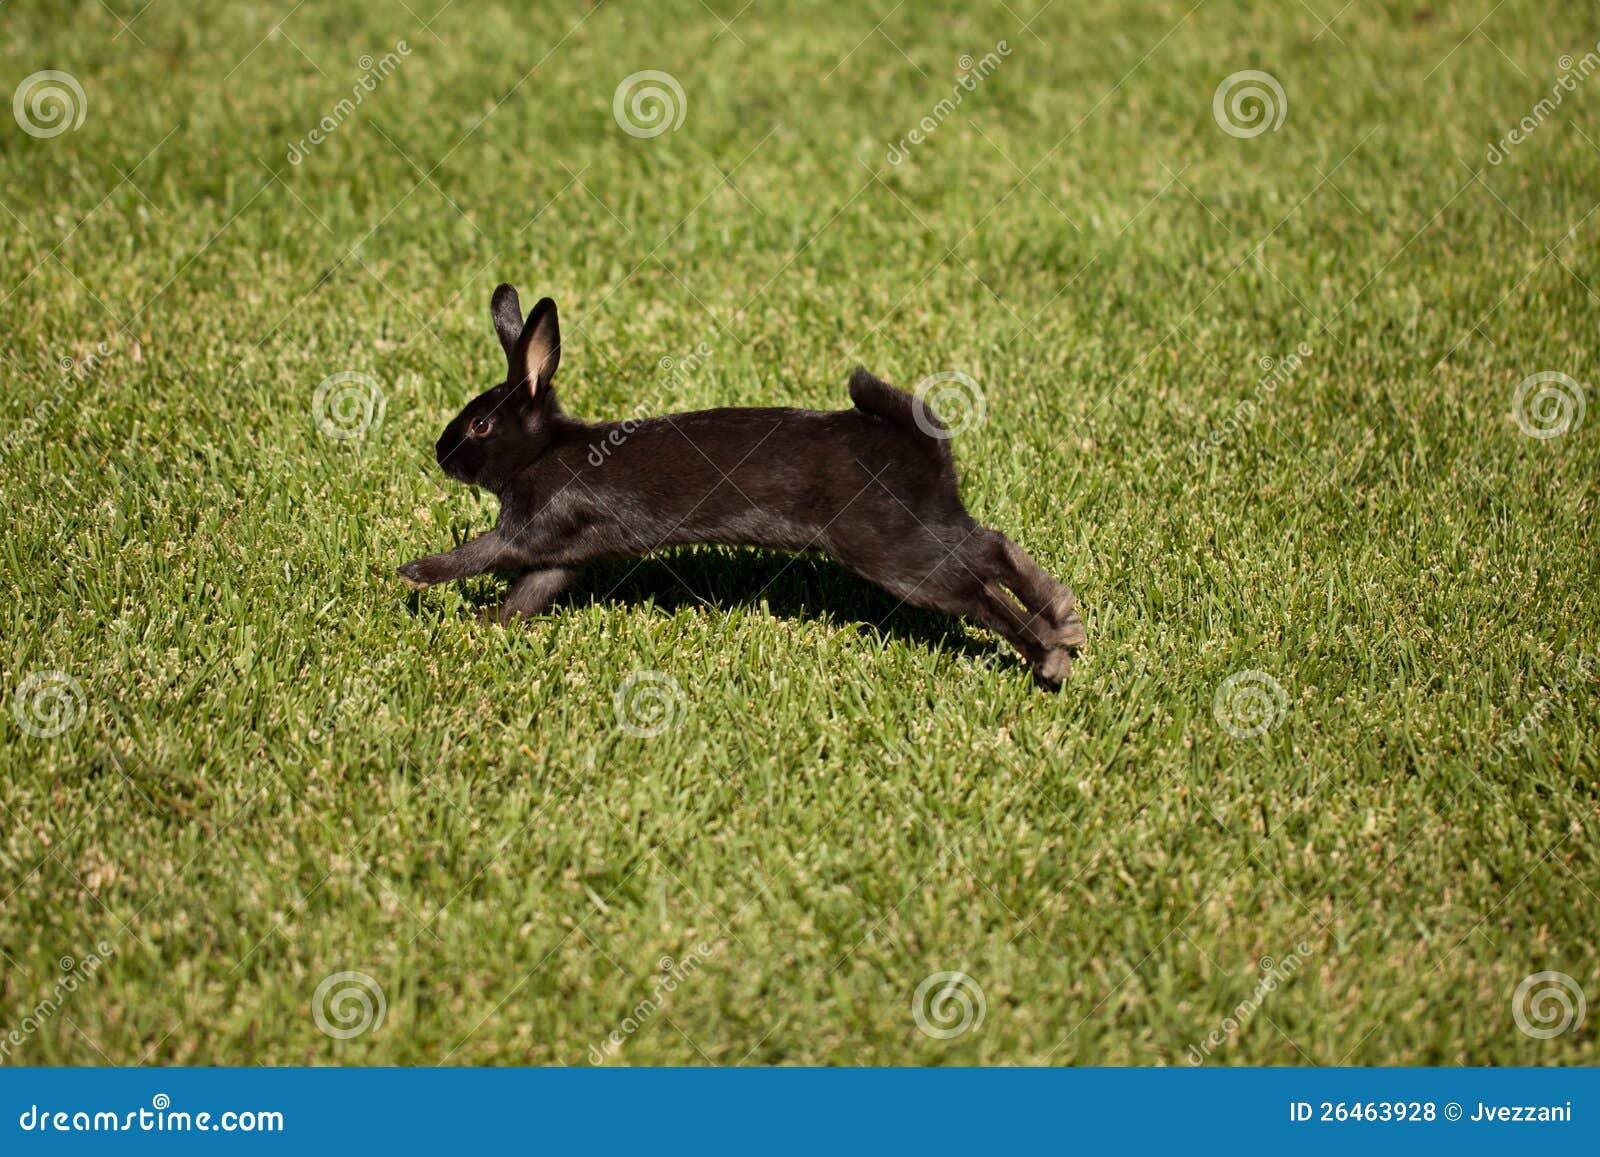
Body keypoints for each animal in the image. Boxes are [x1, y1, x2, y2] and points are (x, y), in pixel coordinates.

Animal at [398, 284, 1086, 687]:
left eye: (481, 424)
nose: (440, 453)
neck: (543, 451)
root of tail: (925, 447)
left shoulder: (536, 530)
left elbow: (481, 553)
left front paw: (414, 575)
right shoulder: (558, 559)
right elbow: (526, 595)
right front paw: (485, 623)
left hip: (893, 550)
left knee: (976, 587)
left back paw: (1049, 659)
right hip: (921, 529)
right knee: (992, 550)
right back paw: (1065, 624)